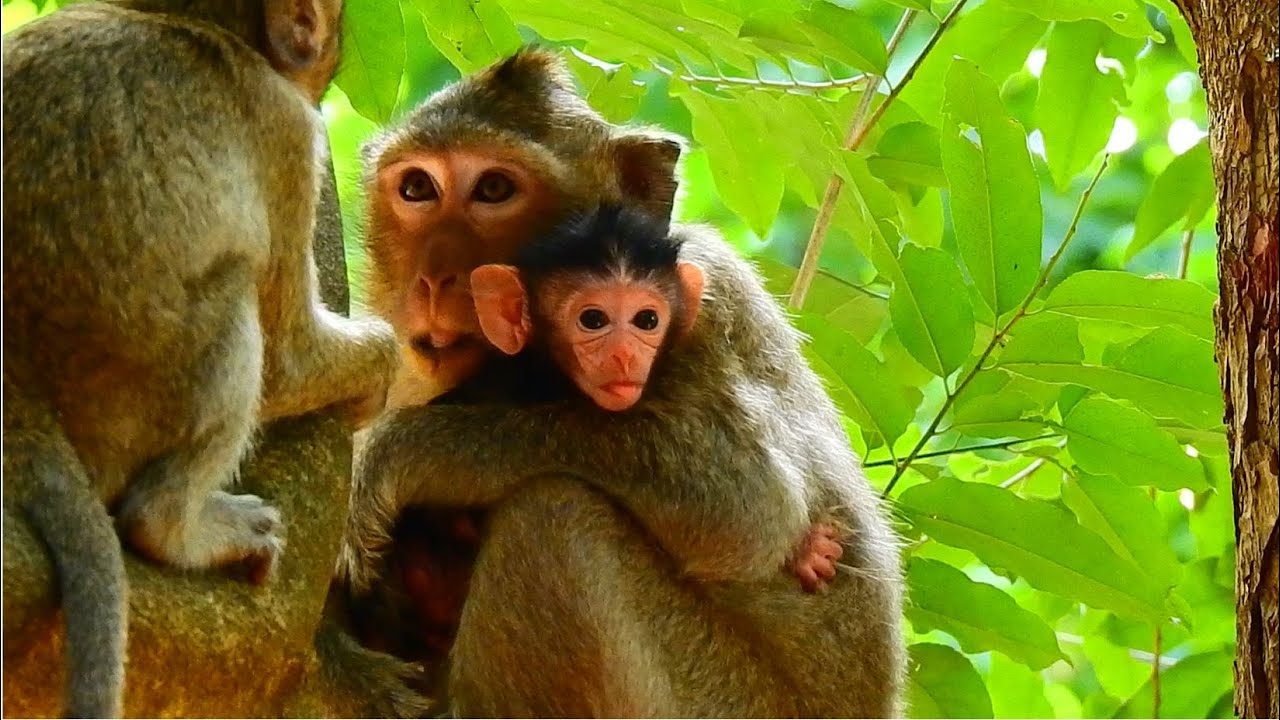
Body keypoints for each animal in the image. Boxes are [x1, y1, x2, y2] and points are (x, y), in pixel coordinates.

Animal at [2, 1, 399, 716]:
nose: (319, 51)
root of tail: (21, 410)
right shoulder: (289, 134)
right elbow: (289, 359)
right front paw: (379, 366)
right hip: (126, 411)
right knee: (236, 295)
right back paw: (171, 529)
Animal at [337, 48, 904, 717]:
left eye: (495, 189)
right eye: (417, 189)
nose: (434, 278)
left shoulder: (698, 301)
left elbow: (751, 509)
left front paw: (399, 456)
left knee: (554, 513)